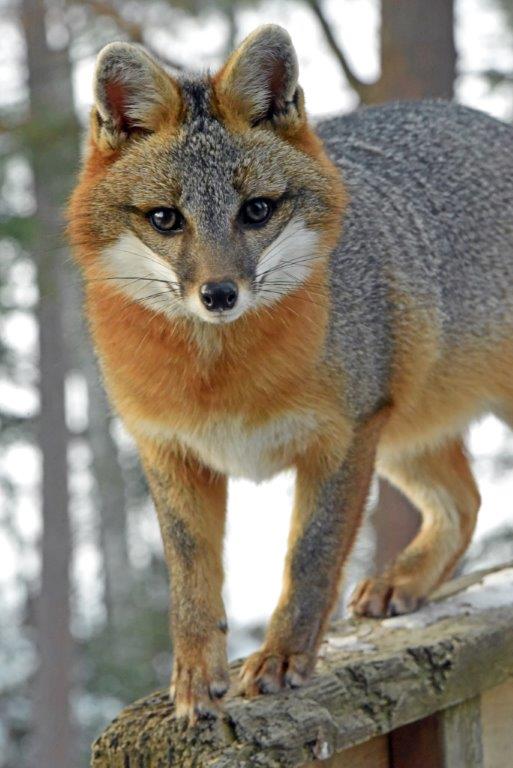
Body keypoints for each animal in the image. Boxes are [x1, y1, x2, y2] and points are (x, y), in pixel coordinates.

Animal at [69, 24, 513, 723]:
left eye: (256, 210)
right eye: (166, 218)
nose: (219, 295)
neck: (219, 380)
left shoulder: (342, 439)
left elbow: (310, 559)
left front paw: (283, 657)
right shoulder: (169, 452)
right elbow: (190, 584)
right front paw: (195, 679)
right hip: (402, 438)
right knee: (466, 504)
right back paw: (404, 581)